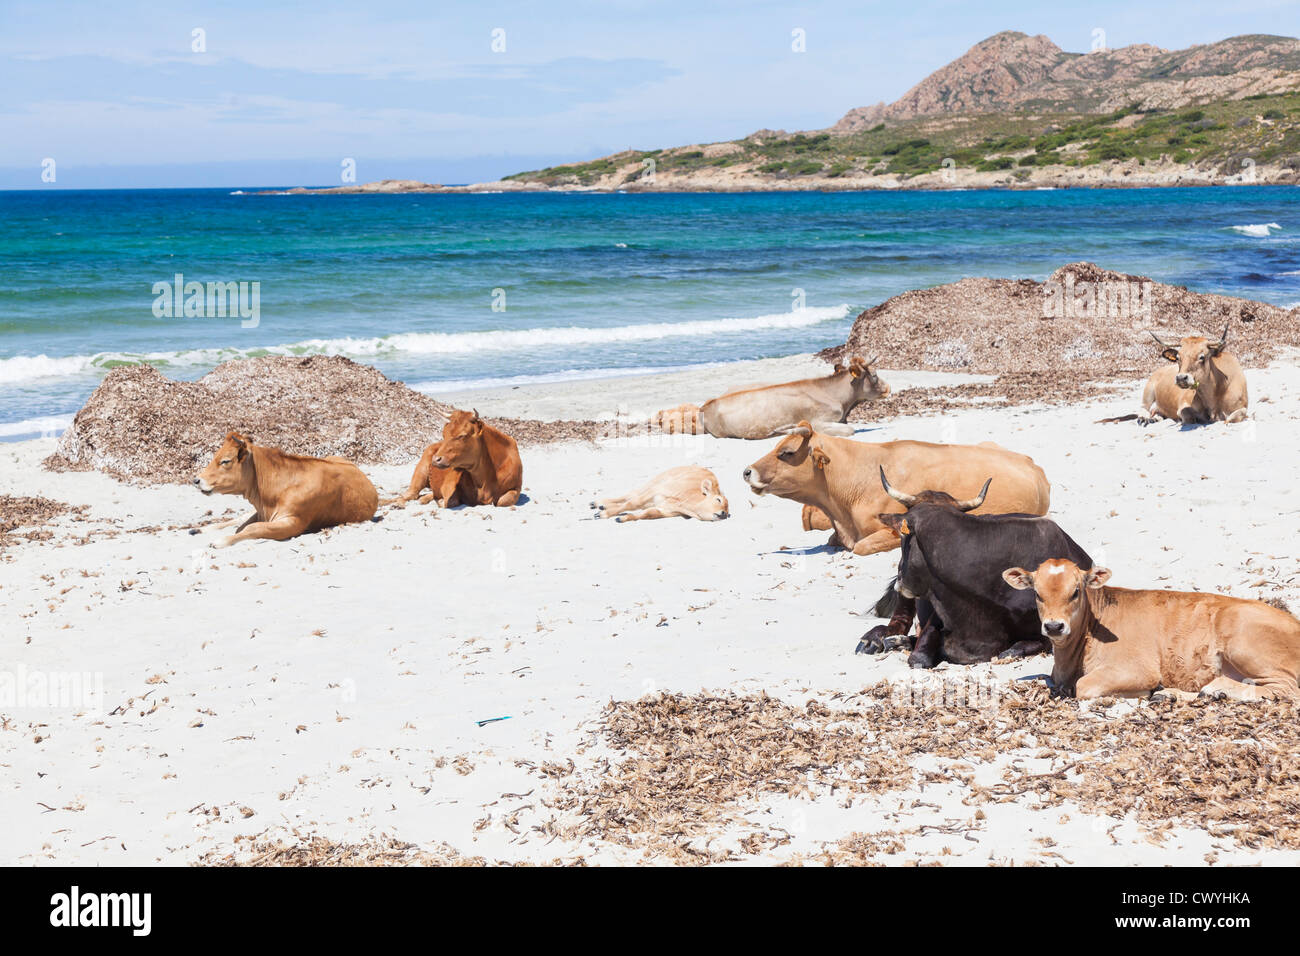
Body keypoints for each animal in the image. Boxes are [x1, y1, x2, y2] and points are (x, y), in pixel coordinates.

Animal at [193, 432, 378, 548]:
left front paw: (220, 541)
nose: (196, 480)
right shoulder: (262, 513)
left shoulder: (293, 522)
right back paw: (198, 529)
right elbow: (243, 526)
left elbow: (252, 528)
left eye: (225, 461)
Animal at [591, 466, 730, 522]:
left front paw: (622, 518)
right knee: (629, 496)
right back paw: (598, 503)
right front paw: (603, 514)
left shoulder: (666, 511)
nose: (724, 514)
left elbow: (648, 513)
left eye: (728, 512)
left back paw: (601, 505)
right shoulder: (656, 490)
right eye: (718, 500)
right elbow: (631, 503)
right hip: (653, 482)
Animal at [1002, 559, 1300, 701]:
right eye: (1037, 594)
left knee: (1285, 688)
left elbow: (1083, 686)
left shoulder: (1137, 668)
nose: (1054, 625)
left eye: (1075, 591)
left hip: (1244, 643)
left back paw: (1213, 688)